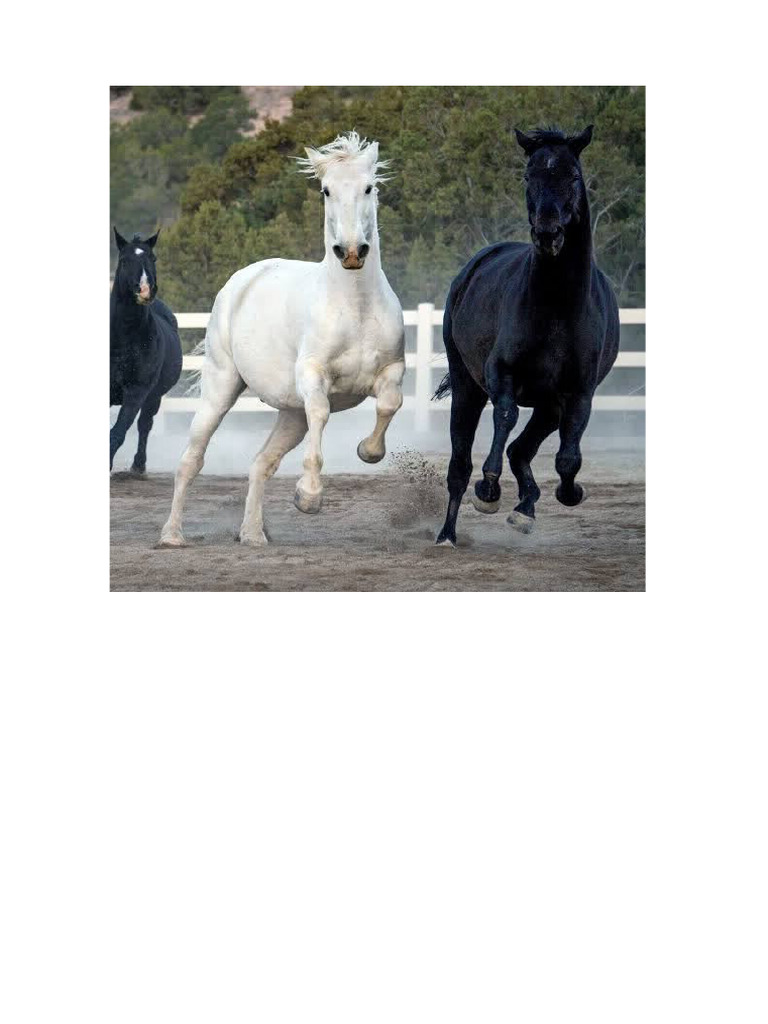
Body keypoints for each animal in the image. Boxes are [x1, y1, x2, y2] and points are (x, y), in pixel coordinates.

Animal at [110, 229, 182, 474]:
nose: (145, 289)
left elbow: (117, 433)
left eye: (153, 258)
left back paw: (138, 465)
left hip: (154, 397)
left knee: (145, 425)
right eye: (124, 260)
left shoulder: (137, 392)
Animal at [160, 132, 405, 548]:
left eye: (369, 187)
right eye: (326, 190)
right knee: (191, 460)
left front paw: (368, 451)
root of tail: (243, 278)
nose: (351, 252)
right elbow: (321, 413)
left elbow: (390, 404)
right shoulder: (312, 377)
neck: (354, 307)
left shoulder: (392, 369)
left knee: (261, 463)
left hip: (290, 414)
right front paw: (308, 496)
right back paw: (172, 535)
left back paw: (252, 534)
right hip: (221, 389)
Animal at [434, 125, 620, 547]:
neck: (556, 307)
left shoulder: (577, 392)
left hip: (548, 406)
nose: (548, 233)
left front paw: (569, 492)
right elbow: (505, 415)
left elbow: (568, 457)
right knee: (460, 464)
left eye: (573, 175)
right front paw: (488, 490)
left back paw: (525, 508)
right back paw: (448, 534)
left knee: (521, 450)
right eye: (527, 175)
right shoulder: (501, 373)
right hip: (467, 386)